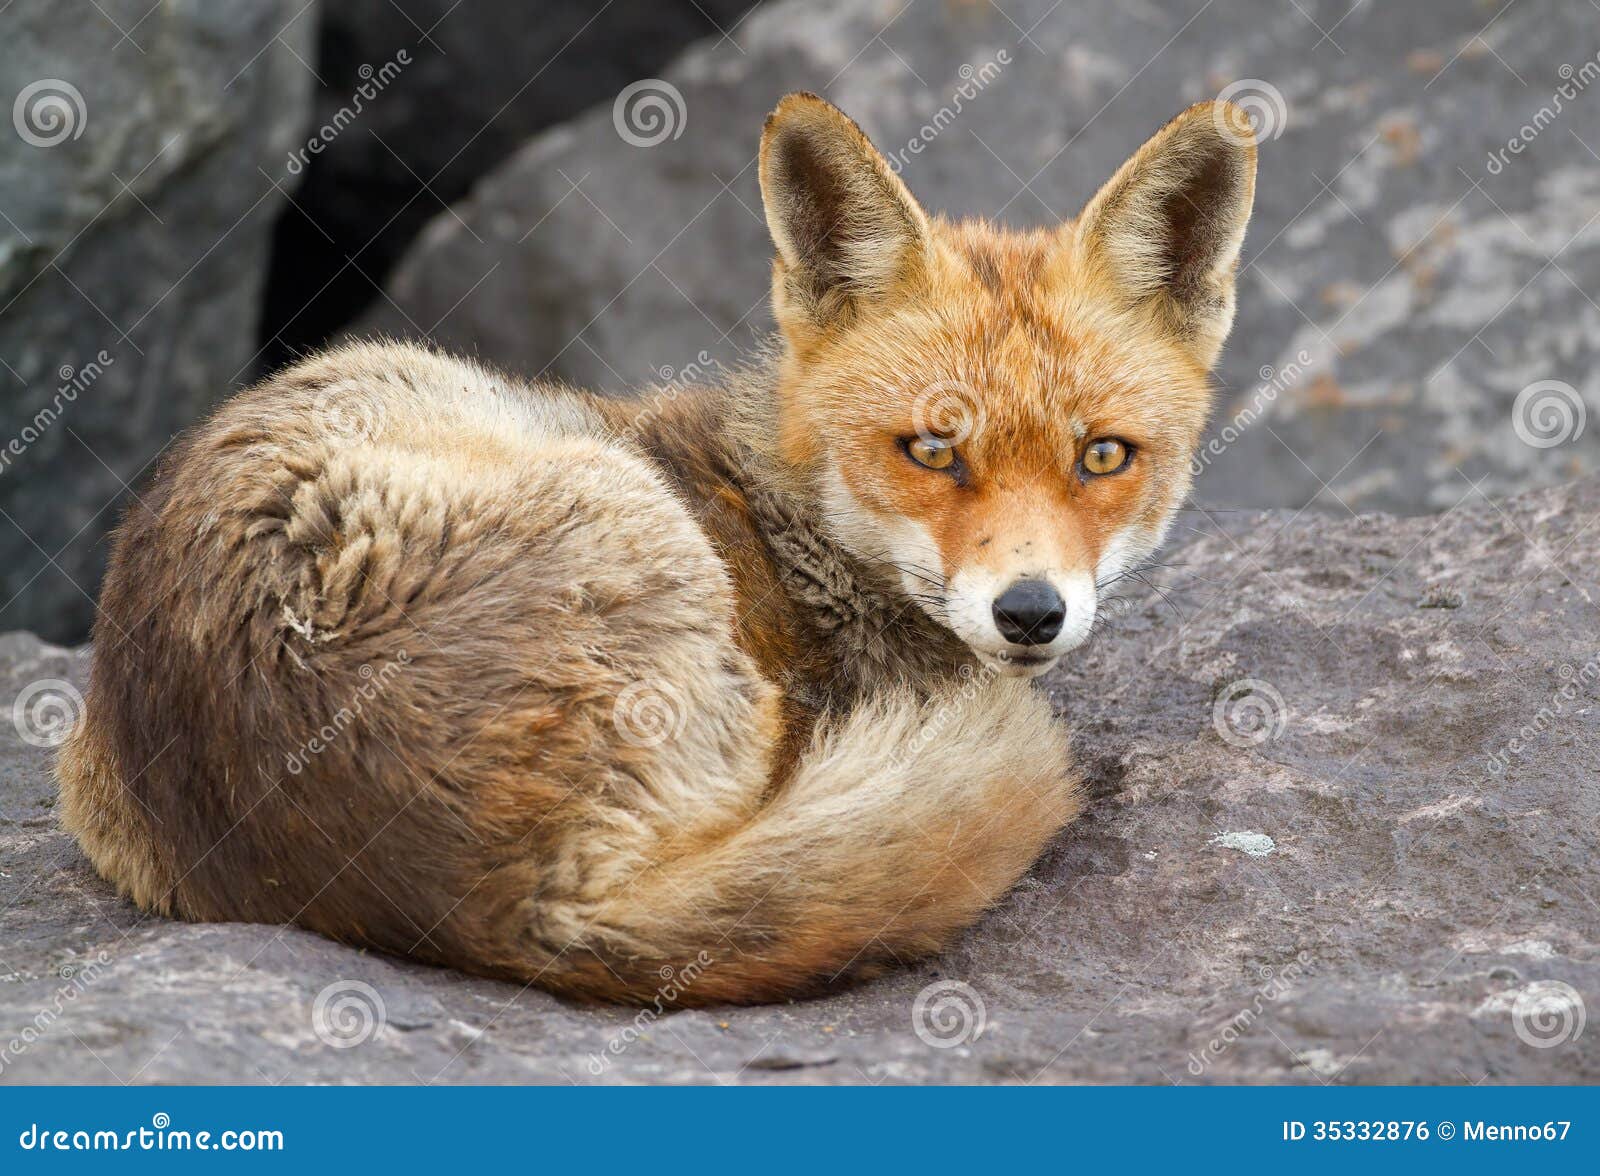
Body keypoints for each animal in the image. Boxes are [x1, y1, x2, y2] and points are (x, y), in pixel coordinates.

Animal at [57, 93, 1255, 1005]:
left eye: (1102, 456)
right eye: (930, 449)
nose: (1030, 611)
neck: (784, 517)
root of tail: (523, 905)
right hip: (629, 519)